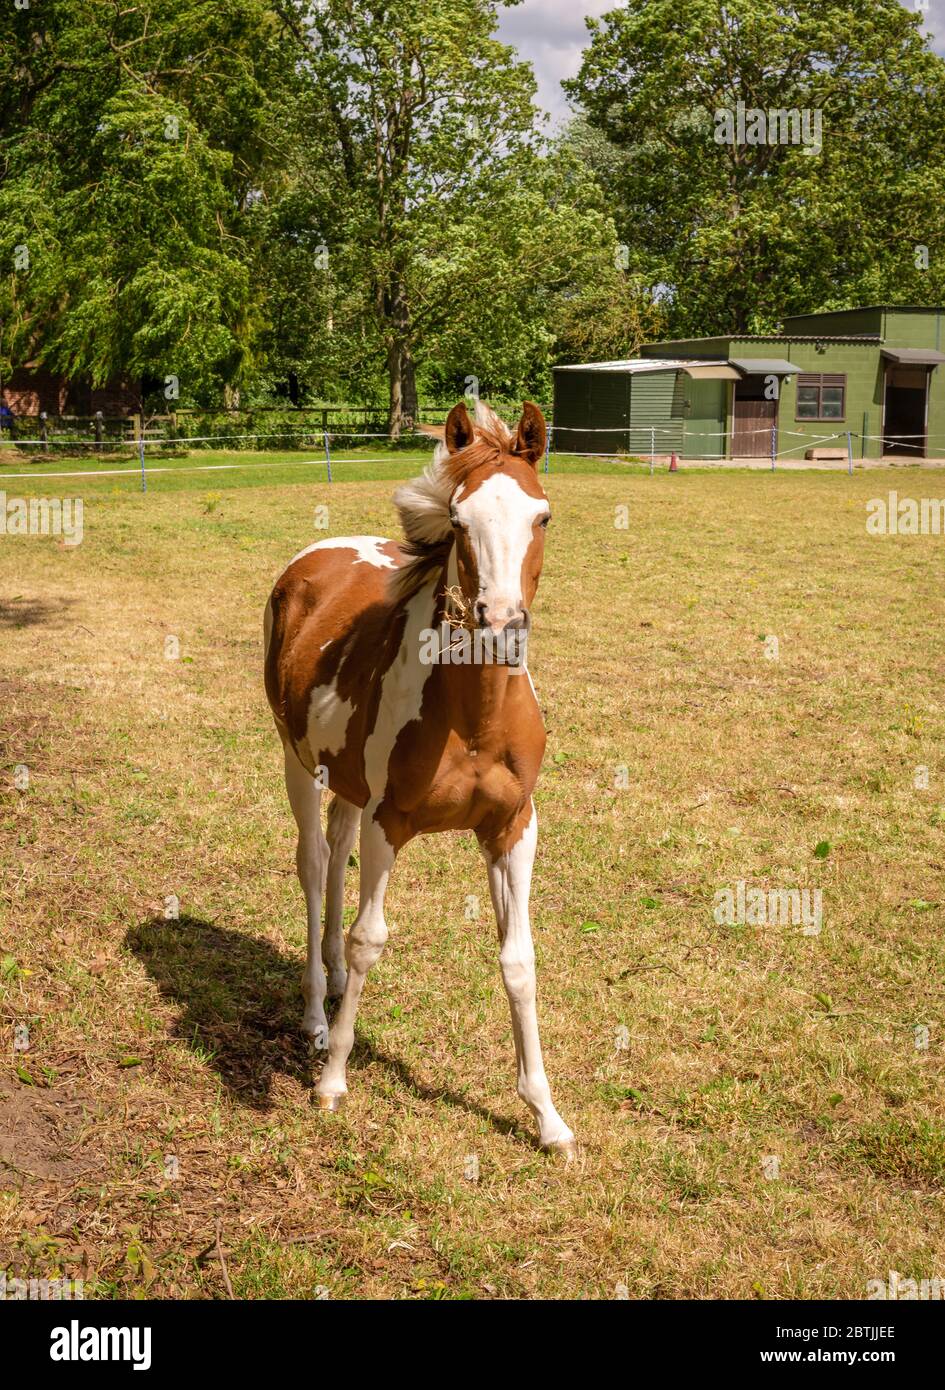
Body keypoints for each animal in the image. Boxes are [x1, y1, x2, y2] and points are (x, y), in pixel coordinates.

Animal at [263, 399, 575, 1157]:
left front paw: (546, 1116)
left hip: (347, 783)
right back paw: (316, 1016)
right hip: (298, 765)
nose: (501, 622)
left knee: (337, 857)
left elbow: (518, 961)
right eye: (459, 522)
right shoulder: (391, 822)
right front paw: (333, 1081)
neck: (473, 720)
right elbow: (370, 940)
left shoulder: (513, 826)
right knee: (314, 867)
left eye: (542, 515)